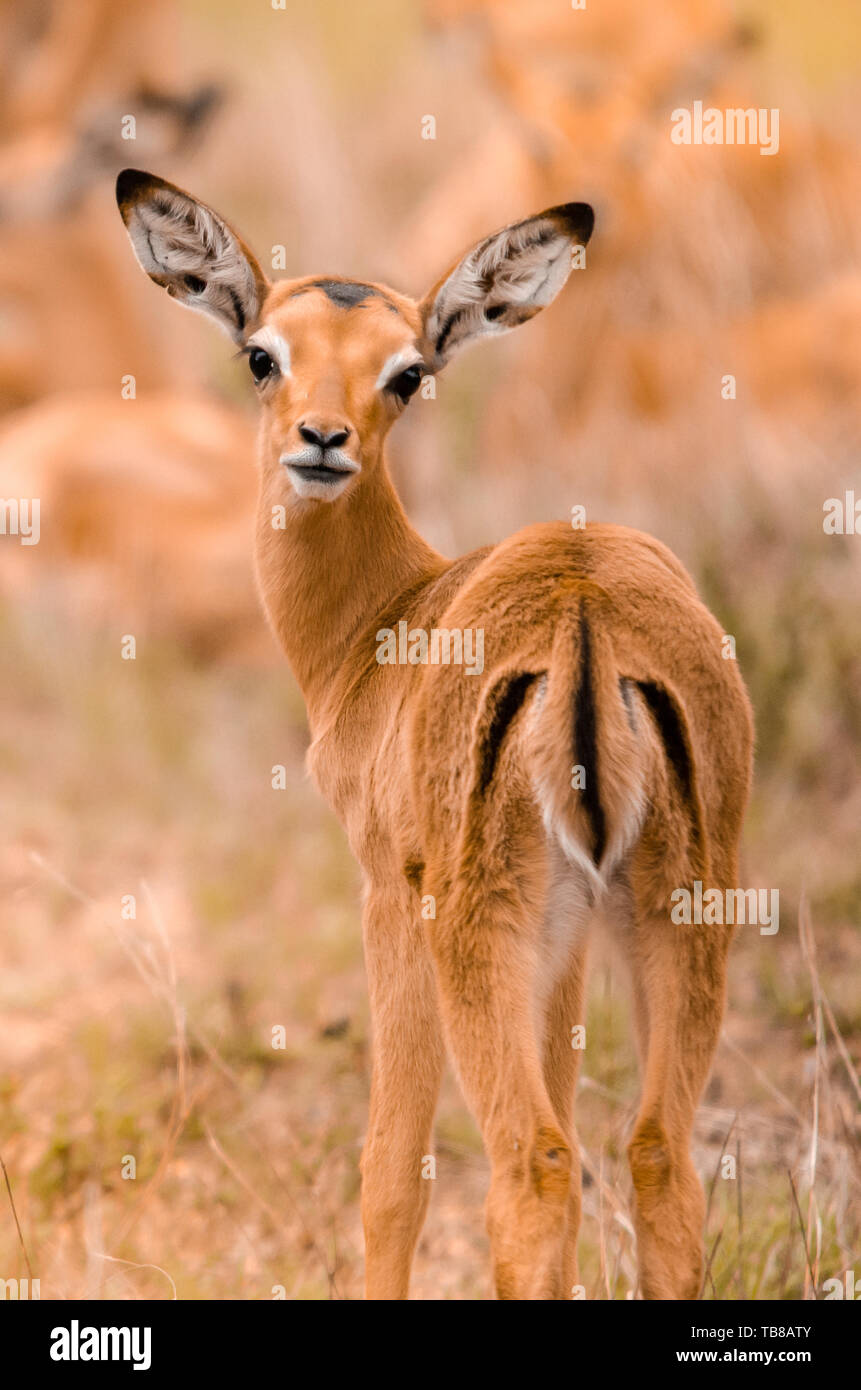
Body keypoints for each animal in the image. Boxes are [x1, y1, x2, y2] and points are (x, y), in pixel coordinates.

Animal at [116, 169, 753, 1300]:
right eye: (263, 353)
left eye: (406, 372)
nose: (323, 439)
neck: (387, 621)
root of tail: (585, 615)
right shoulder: (566, 939)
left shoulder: (387, 895)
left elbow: (389, 1173)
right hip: (675, 916)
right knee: (655, 1161)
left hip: (474, 930)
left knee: (530, 1167)